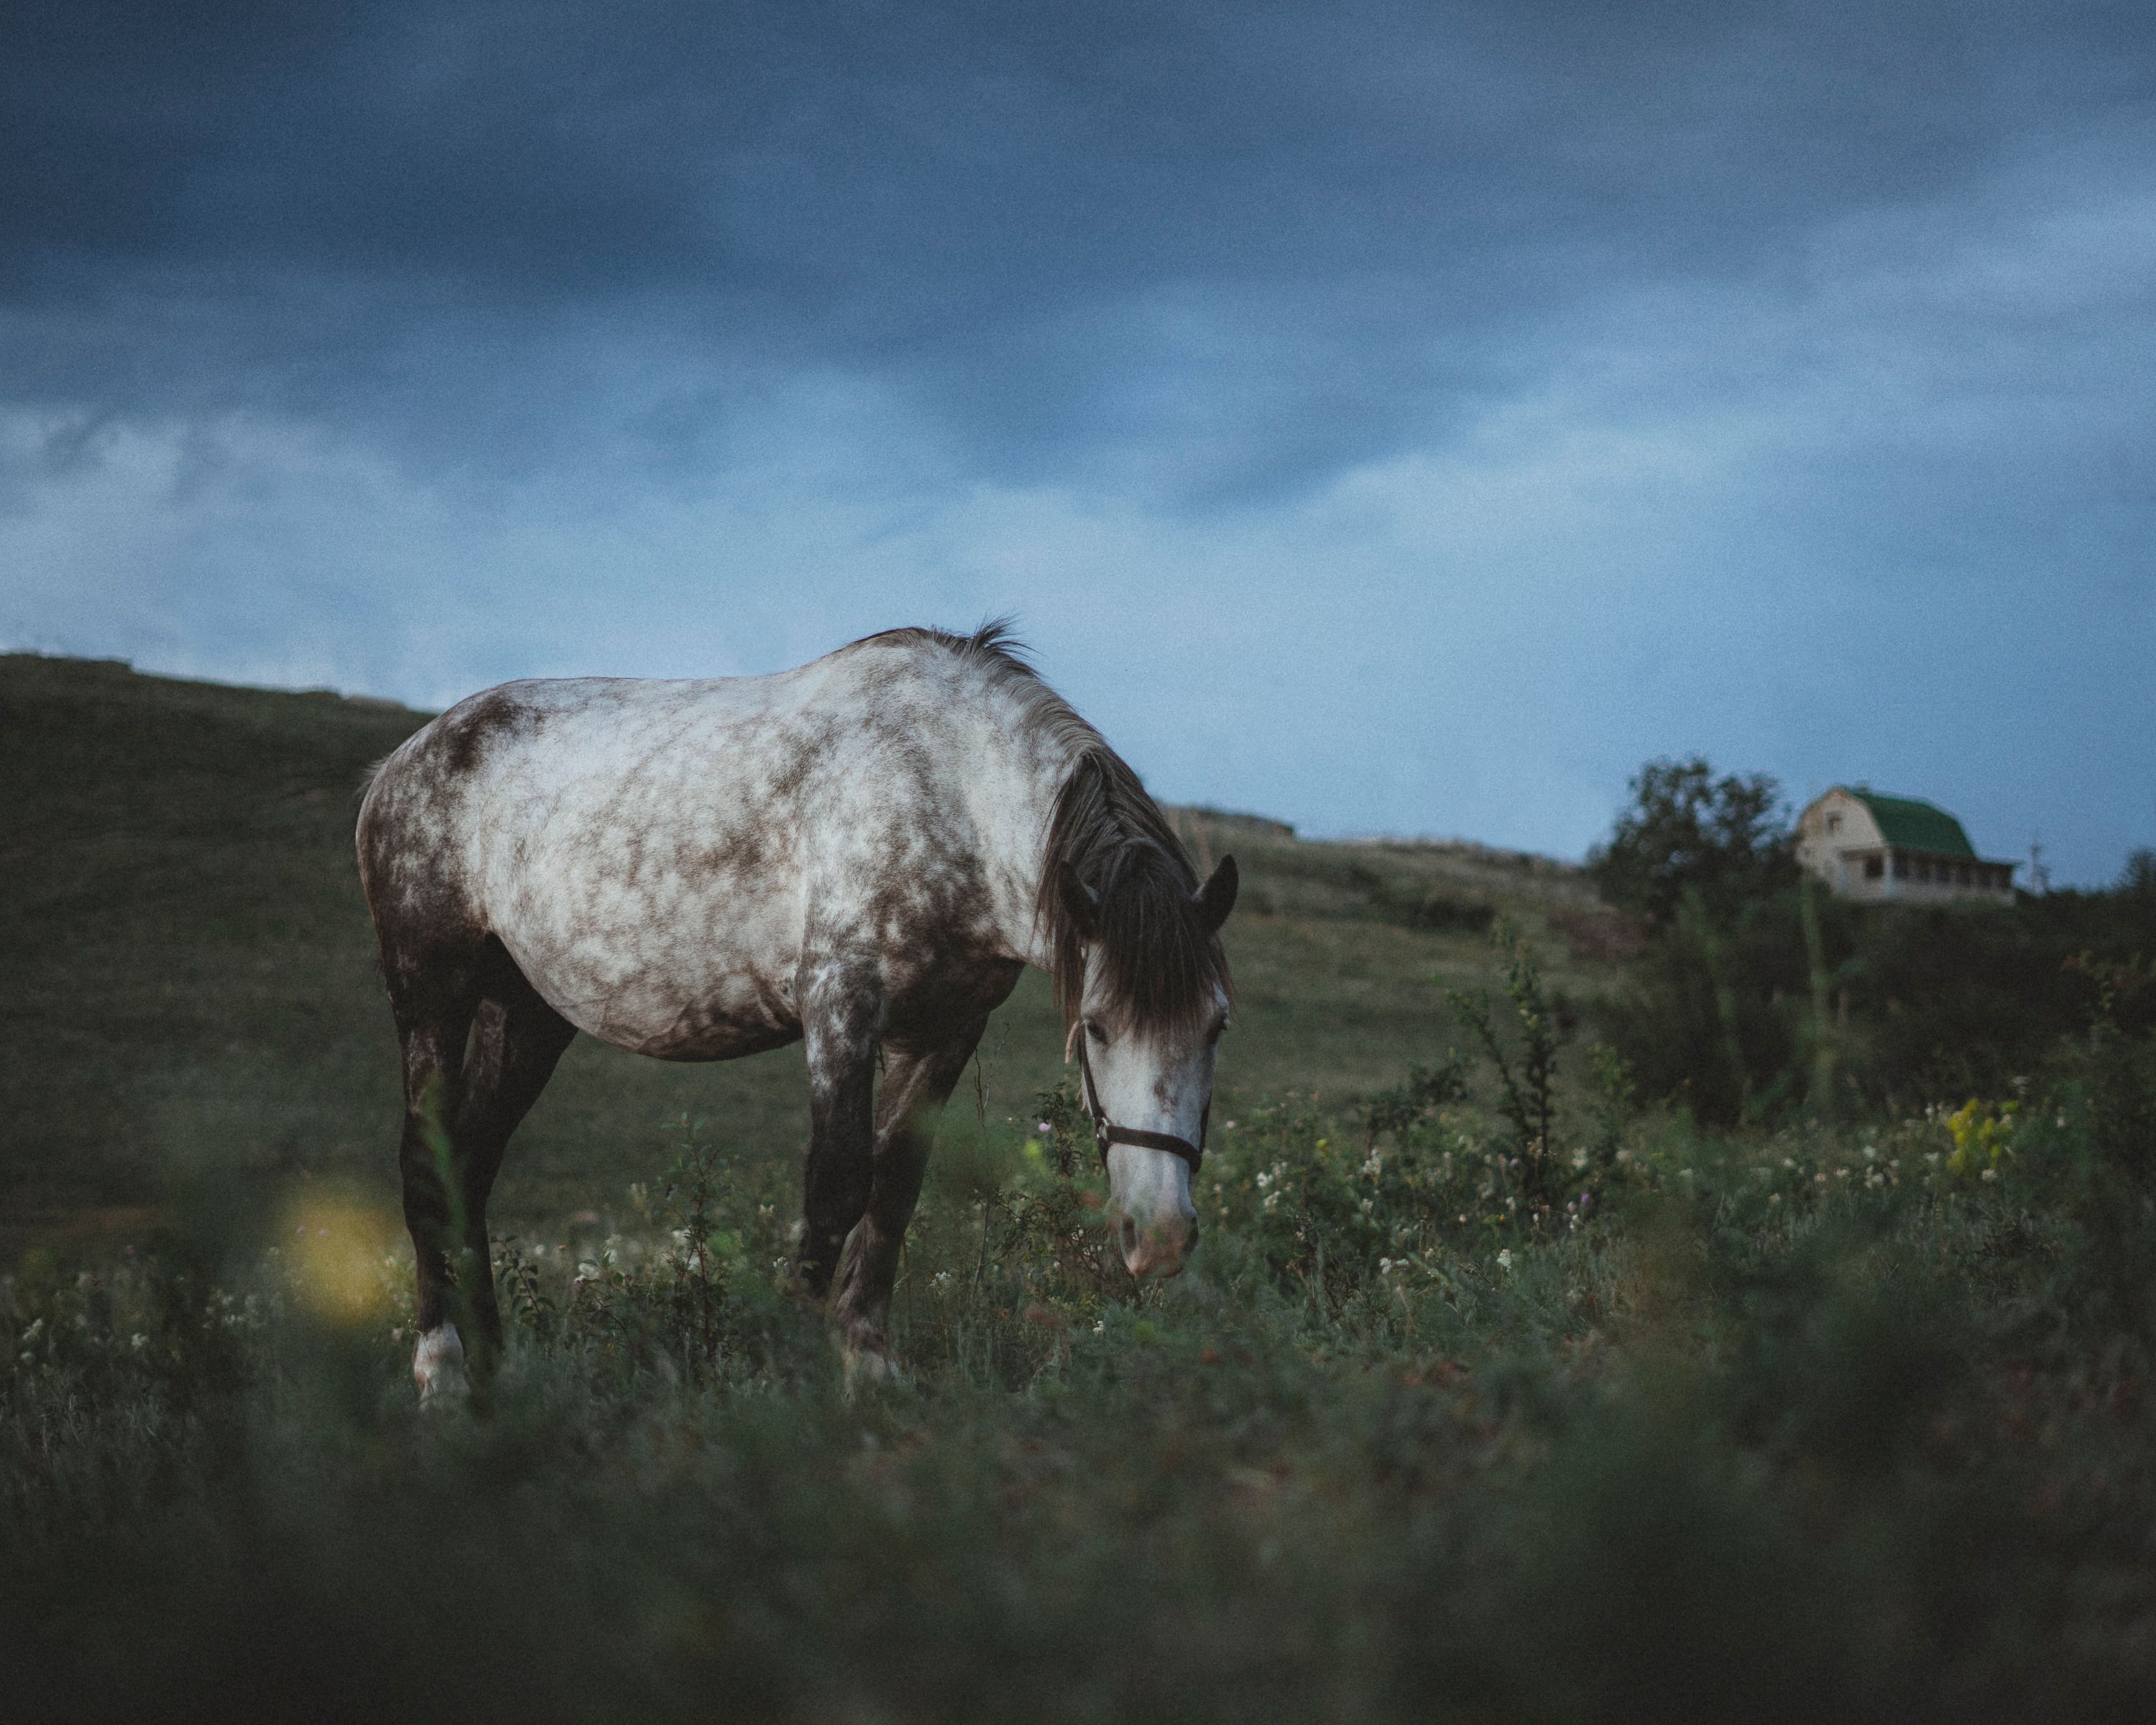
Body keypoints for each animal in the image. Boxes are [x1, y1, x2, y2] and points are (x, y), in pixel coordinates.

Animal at [355, 624, 1237, 1400]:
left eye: (1217, 1026)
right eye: (1096, 1027)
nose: (1161, 1238)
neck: (948, 792)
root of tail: (396, 766)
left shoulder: (945, 1033)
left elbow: (895, 1189)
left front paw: (870, 1366)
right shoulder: (841, 1006)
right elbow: (837, 1187)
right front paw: (786, 1372)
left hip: (527, 1015)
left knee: (470, 1166)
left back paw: (496, 1370)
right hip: (431, 999)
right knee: (427, 1168)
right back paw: (442, 1371)